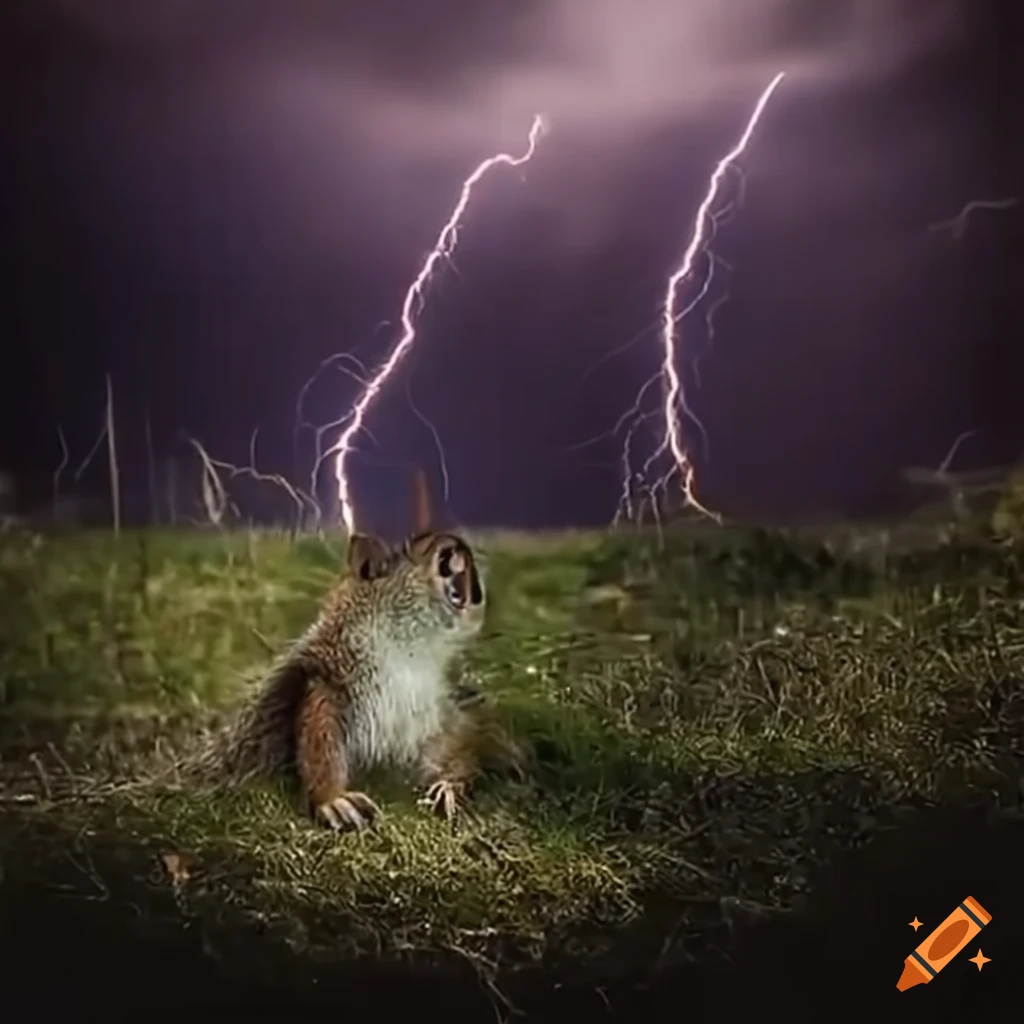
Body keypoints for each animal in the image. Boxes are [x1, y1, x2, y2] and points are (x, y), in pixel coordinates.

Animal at [185, 467, 501, 831]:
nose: (457, 543)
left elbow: (454, 745)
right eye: (415, 548)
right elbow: (318, 740)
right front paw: (334, 801)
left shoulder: (442, 709)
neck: (412, 650)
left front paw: (450, 786)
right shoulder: (330, 682)